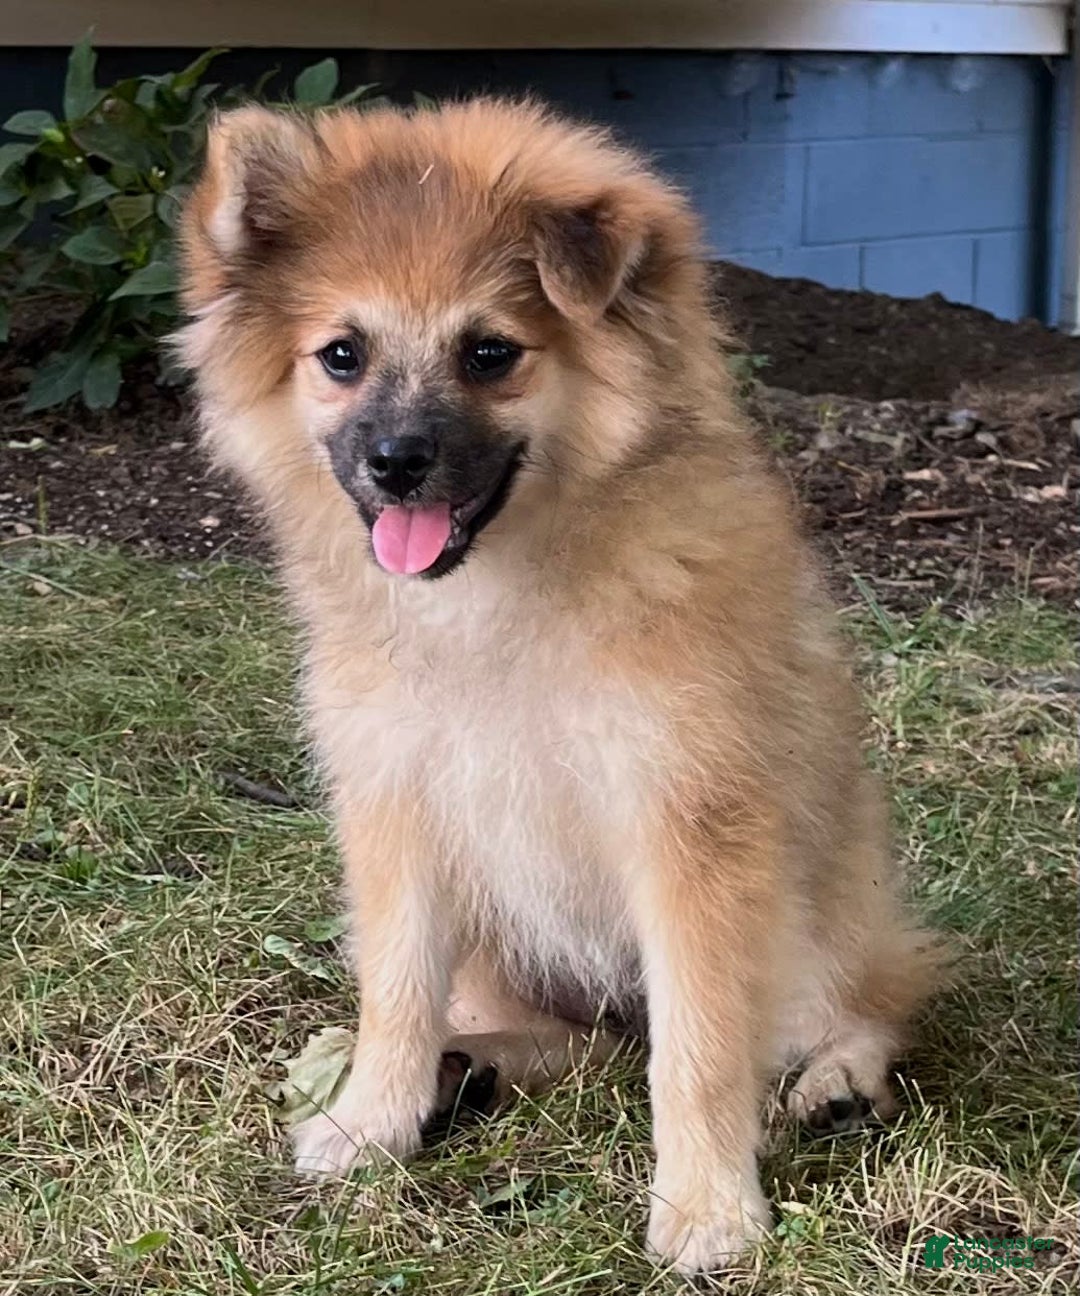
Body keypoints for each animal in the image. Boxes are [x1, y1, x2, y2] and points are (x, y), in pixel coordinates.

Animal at [178, 98, 940, 1274]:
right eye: (341, 356)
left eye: (491, 353)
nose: (395, 461)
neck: (496, 603)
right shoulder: (398, 810)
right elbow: (396, 993)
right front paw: (372, 1119)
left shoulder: (691, 828)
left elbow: (700, 1045)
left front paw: (709, 1207)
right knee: (575, 1039)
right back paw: (469, 1068)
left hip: (818, 913)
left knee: (851, 1004)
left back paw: (839, 1079)